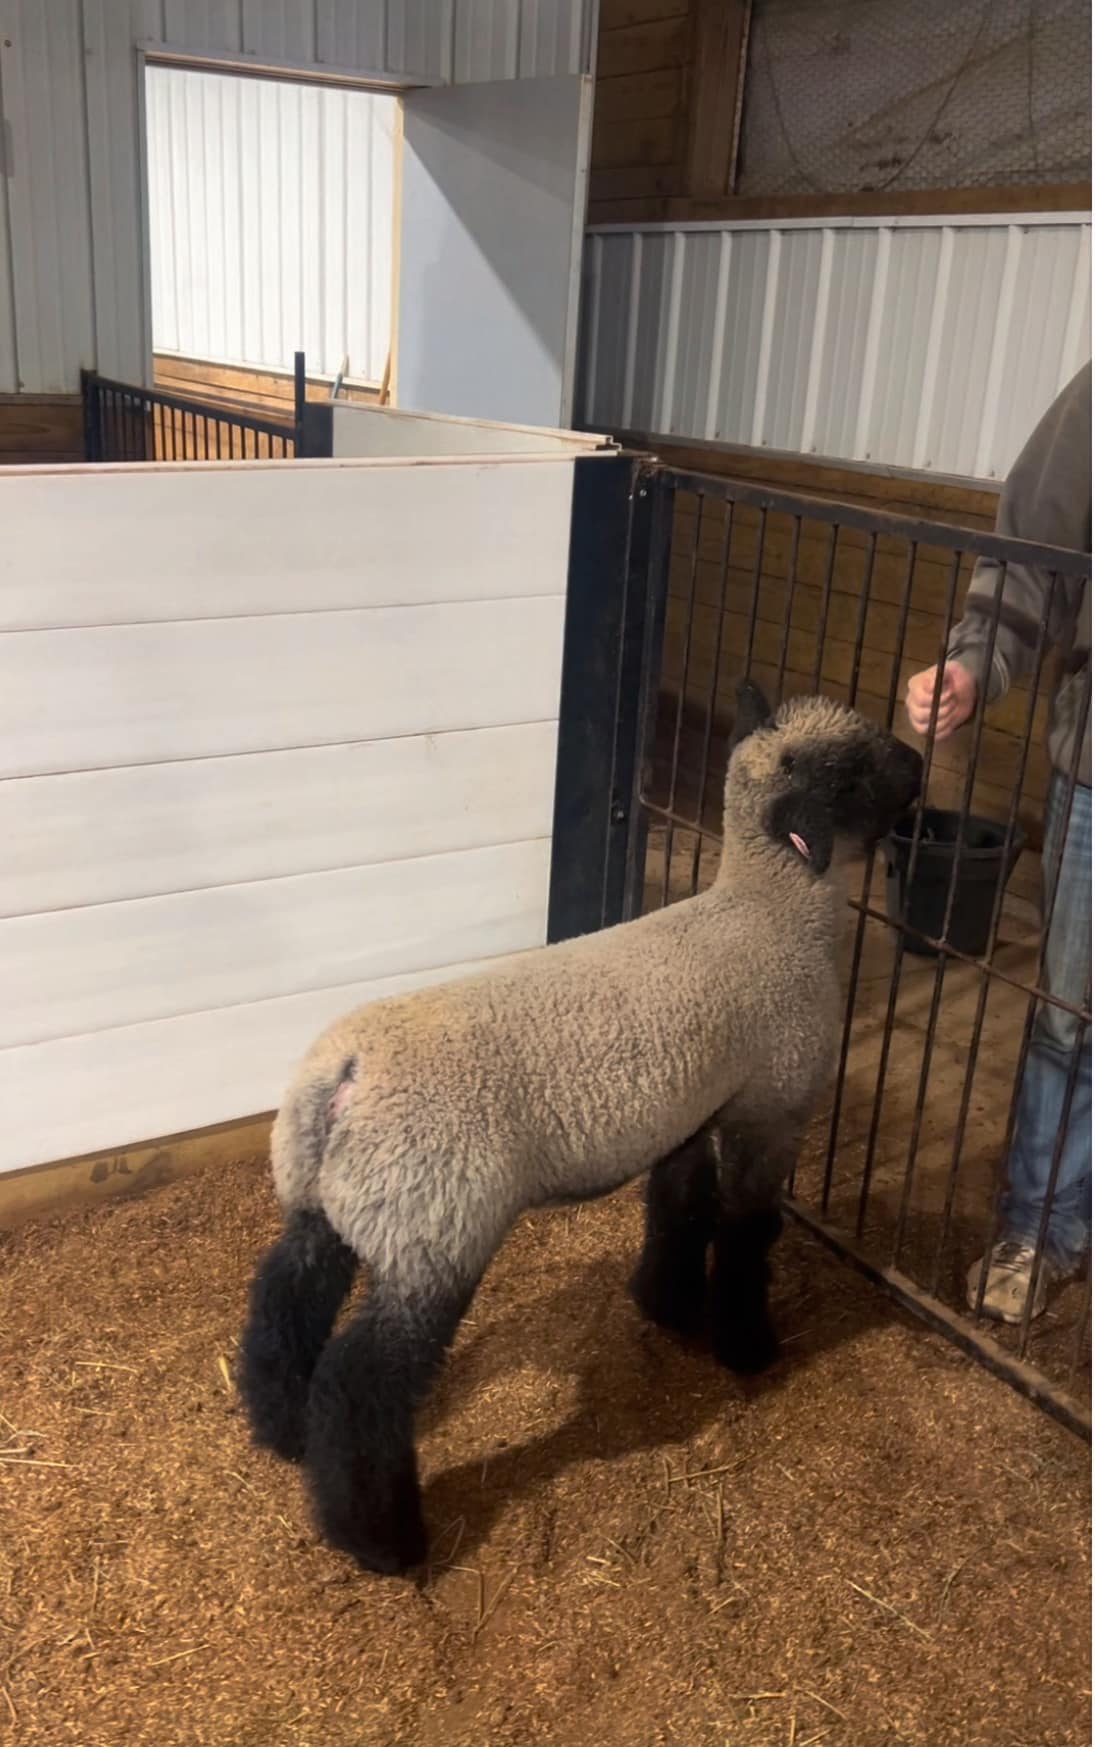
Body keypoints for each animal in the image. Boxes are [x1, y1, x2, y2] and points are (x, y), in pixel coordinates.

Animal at [238, 681, 922, 1574]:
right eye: (849, 773)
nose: (919, 761)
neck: (765, 912)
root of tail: (342, 1075)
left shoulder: (688, 1109)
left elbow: (677, 1206)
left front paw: (666, 1305)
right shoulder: (768, 1107)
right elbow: (744, 1231)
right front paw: (744, 1345)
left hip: (328, 1203)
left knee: (284, 1298)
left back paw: (281, 1432)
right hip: (435, 1224)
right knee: (362, 1380)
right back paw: (385, 1540)